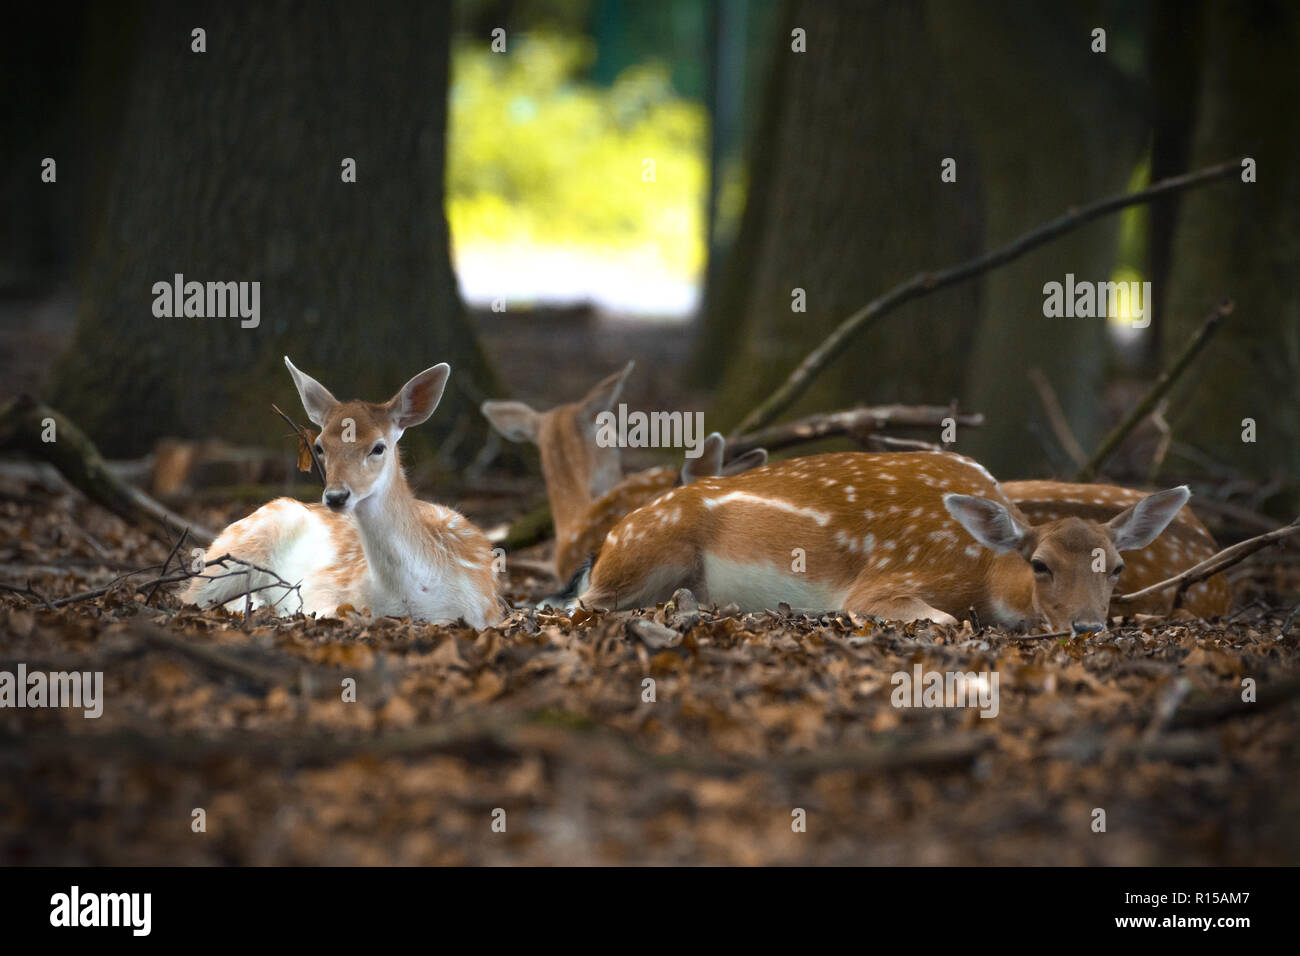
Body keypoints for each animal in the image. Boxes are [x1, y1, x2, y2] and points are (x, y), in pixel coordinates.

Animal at [182, 357, 501, 627]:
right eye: (320, 446)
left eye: (378, 447)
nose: (336, 496)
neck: (410, 596)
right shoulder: (323, 590)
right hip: (232, 551)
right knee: (186, 596)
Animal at [572, 451, 1193, 635]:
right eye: (1039, 565)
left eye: (1117, 567)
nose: (1087, 625)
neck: (984, 574)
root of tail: (608, 540)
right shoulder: (884, 582)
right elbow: (943, 619)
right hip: (645, 552)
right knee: (582, 603)